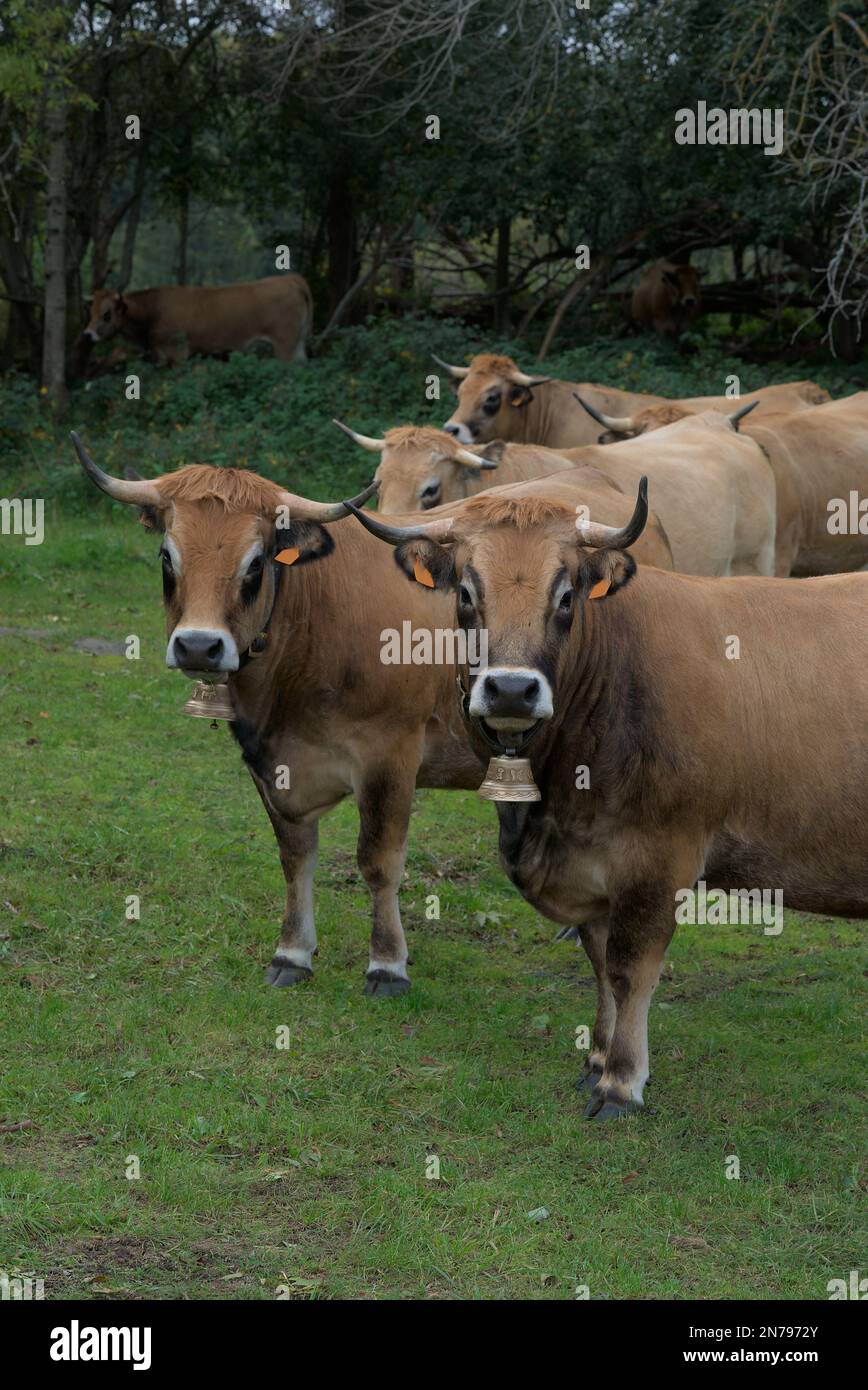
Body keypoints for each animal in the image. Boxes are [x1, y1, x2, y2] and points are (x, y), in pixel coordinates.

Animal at [71, 436, 671, 996]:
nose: (198, 646)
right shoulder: (273, 766)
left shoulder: (390, 758)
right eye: (166, 559)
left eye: (256, 564)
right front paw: (292, 952)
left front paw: (387, 964)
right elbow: (295, 856)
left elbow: (378, 862)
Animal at [82, 274, 313, 365]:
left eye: (107, 314)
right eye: (90, 312)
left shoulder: (177, 354)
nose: (87, 334)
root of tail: (289, 278)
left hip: (285, 346)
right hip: (299, 344)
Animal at [346, 486, 868, 1118]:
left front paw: (621, 1082)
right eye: (467, 594)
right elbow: (598, 966)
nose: (512, 689)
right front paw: (595, 1059)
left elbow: (628, 970)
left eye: (566, 595)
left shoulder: (659, 859)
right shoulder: (592, 870)